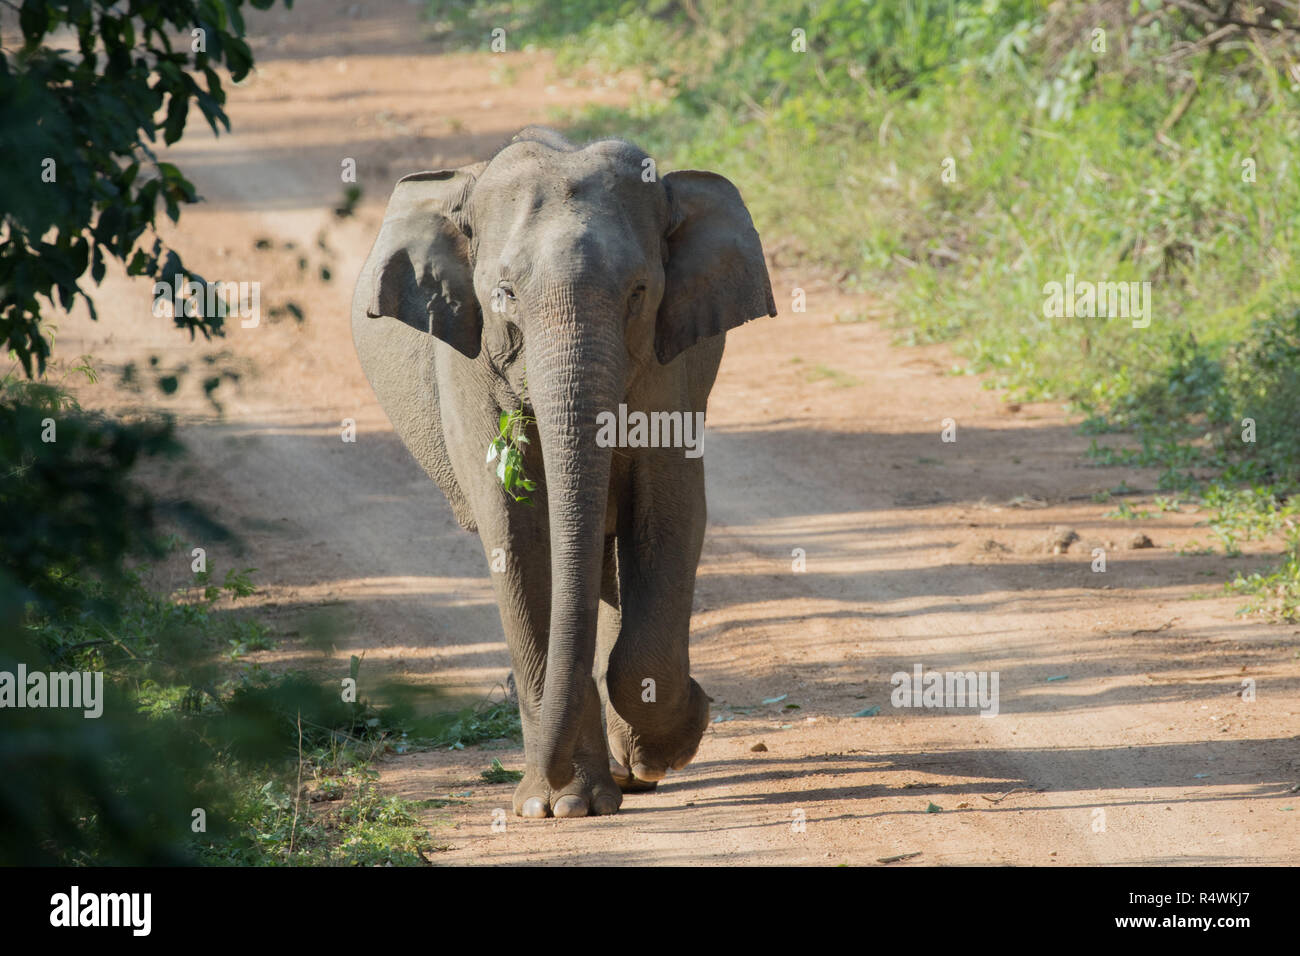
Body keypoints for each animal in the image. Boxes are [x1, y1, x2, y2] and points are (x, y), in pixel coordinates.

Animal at [351, 126, 776, 818]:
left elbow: (670, 511)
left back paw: (634, 770)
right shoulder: (466, 365)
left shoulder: (669, 365)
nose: (543, 793)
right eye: (503, 295)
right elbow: (517, 536)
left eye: (638, 293)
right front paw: (562, 807)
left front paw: (674, 740)